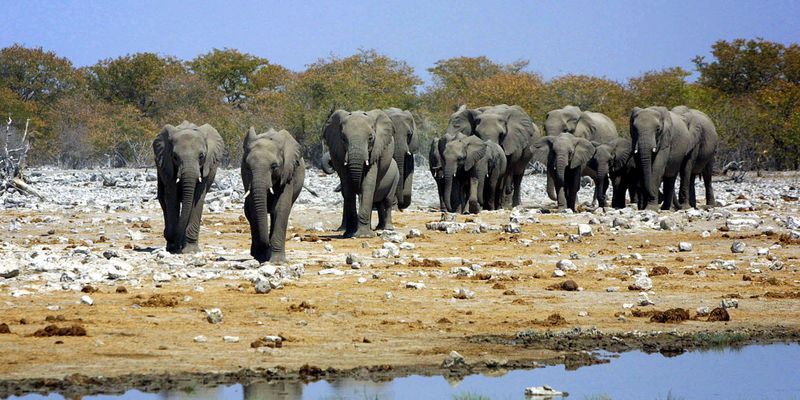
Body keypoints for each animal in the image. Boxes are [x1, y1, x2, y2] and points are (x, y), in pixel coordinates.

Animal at [153, 121, 224, 254]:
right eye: (175, 157)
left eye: (201, 156)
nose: (177, 248)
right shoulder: (167, 165)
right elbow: (172, 198)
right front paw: (173, 247)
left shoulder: (206, 167)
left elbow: (197, 199)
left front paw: (190, 250)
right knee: (163, 200)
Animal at [241, 127, 305, 264]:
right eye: (247, 167)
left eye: (274, 166)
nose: (267, 246)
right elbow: (253, 210)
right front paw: (261, 256)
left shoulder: (288, 172)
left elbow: (280, 208)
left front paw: (276, 261)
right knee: (248, 211)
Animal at [323, 109, 399, 238]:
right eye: (343, 139)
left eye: (370, 138)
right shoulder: (339, 154)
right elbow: (348, 188)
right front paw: (349, 234)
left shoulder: (375, 152)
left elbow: (367, 185)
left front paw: (363, 235)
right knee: (378, 202)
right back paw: (377, 228)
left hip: (395, 178)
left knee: (387, 200)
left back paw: (387, 229)